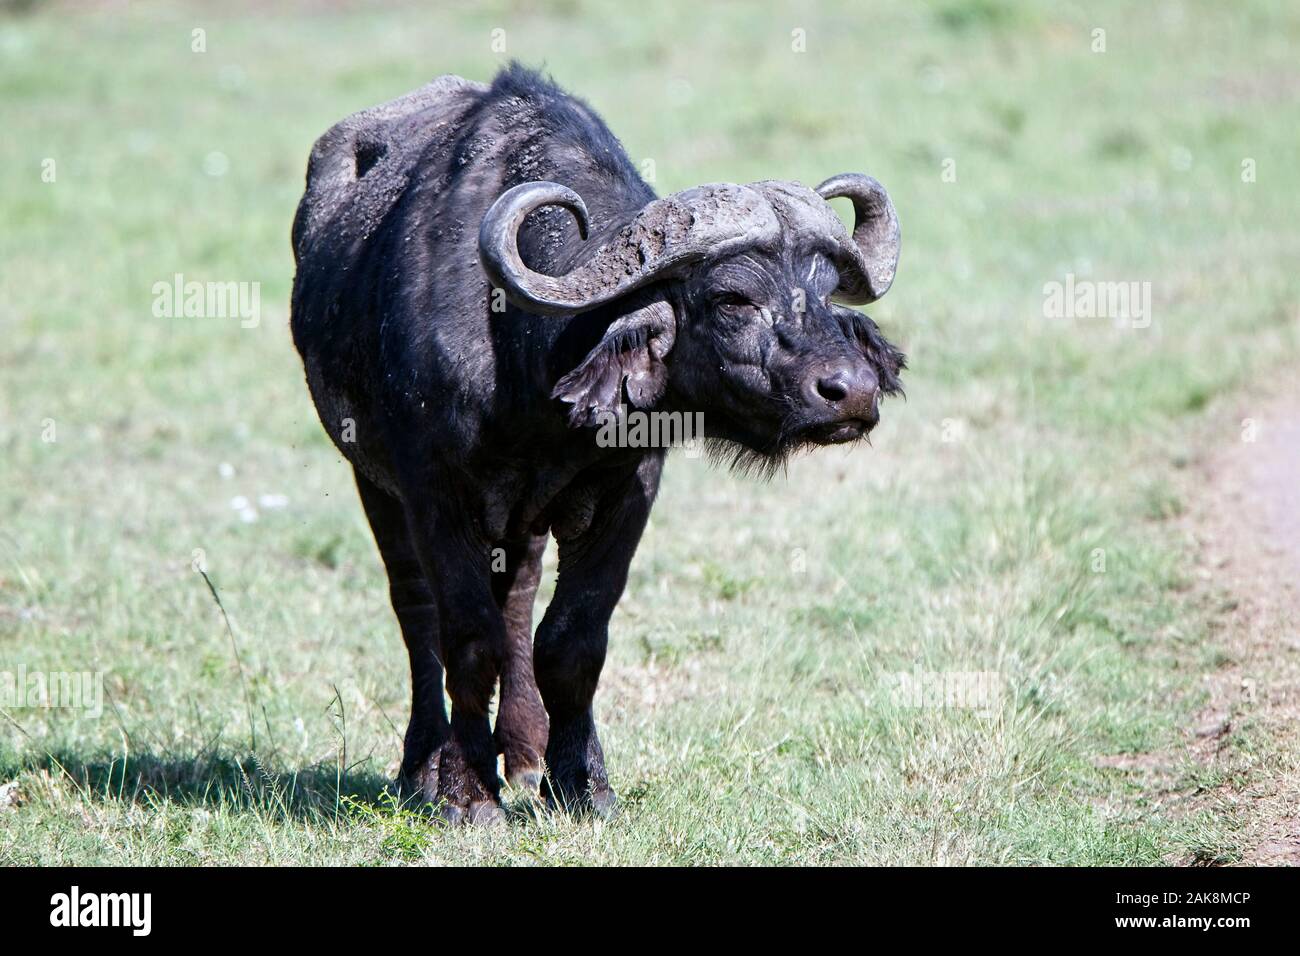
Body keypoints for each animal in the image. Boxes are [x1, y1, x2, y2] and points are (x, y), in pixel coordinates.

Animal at [290, 64, 903, 823]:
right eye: (732, 298)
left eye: (823, 291)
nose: (851, 391)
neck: (524, 363)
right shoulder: (435, 489)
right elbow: (466, 637)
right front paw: (467, 793)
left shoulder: (627, 488)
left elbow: (572, 640)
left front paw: (580, 783)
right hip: (375, 483)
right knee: (418, 615)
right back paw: (423, 764)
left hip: (518, 520)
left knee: (518, 601)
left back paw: (522, 754)